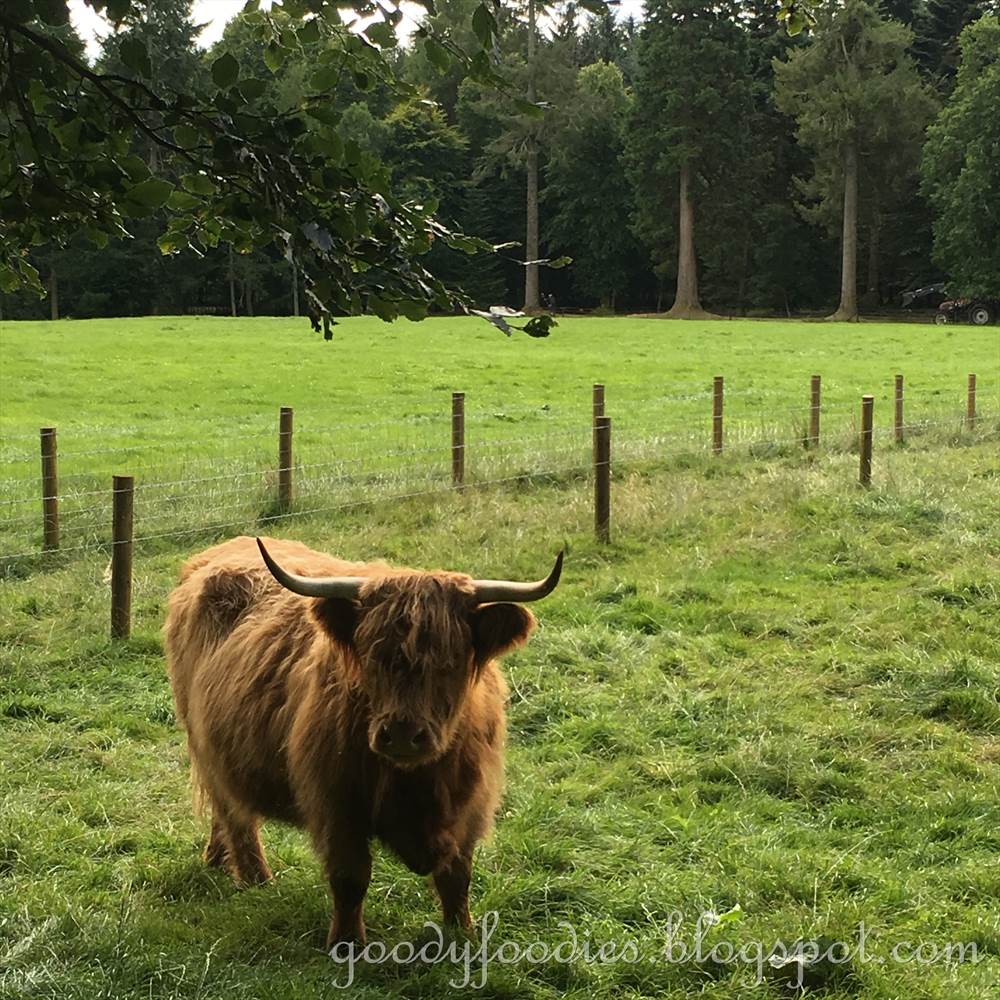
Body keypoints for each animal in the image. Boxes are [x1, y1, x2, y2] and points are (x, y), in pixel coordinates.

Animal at [163, 535, 562, 948]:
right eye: (372, 656)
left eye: (450, 661)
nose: (402, 734)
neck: (416, 783)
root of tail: (217, 551)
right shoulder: (336, 804)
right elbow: (351, 877)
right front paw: (347, 943)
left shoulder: (469, 804)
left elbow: (456, 876)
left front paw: (461, 933)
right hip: (205, 745)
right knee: (235, 814)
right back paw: (257, 879)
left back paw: (216, 857)